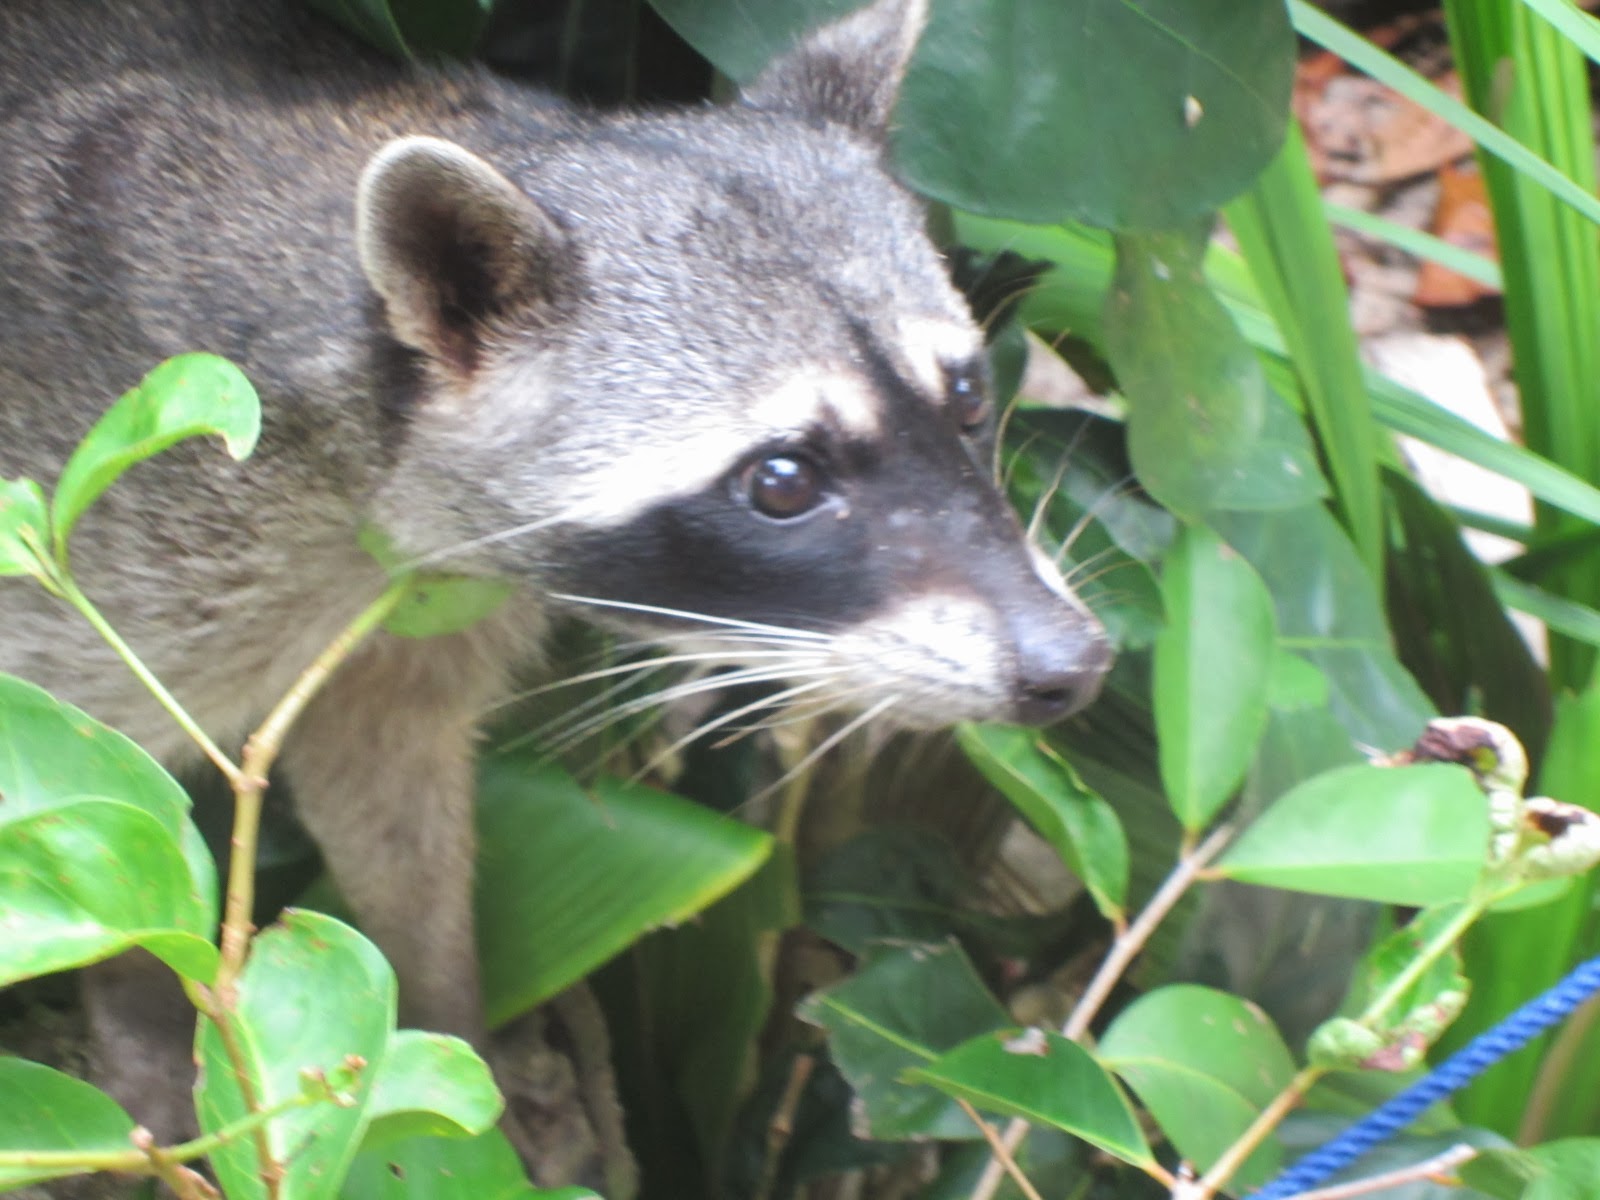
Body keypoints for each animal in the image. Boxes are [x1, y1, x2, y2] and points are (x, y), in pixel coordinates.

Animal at [0, 0, 1110, 1164]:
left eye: (968, 397)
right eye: (783, 480)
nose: (1072, 664)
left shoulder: (416, 616)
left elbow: (392, 802)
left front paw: (451, 1023)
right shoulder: (101, 528)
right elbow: (103, 796)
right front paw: (136, 997)